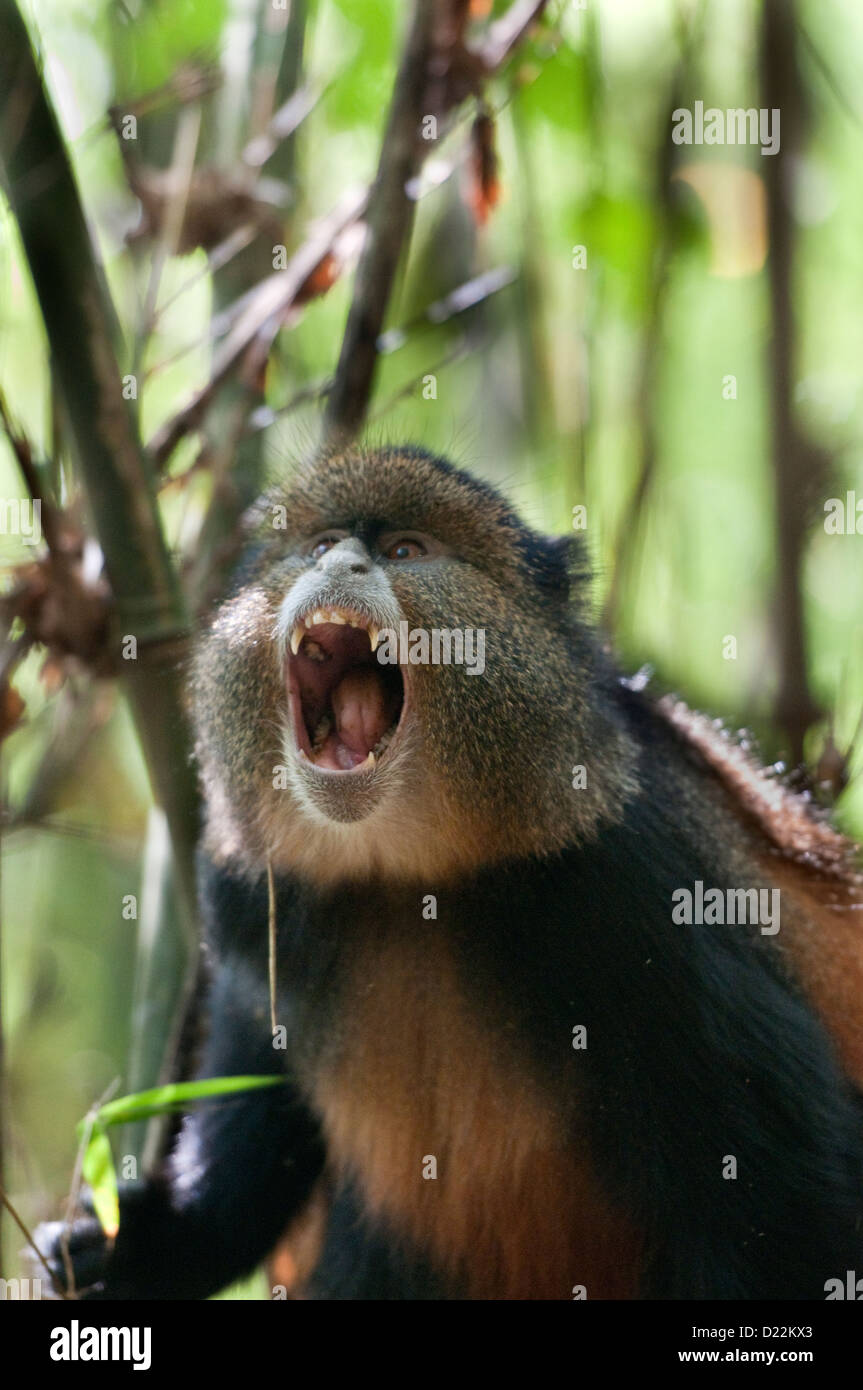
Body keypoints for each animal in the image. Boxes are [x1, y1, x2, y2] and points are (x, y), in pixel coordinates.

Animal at [38, 443, 863, 1300]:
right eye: (321, 543)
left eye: (406, 551)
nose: (341, 563)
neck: (409, 878)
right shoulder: (243, 891)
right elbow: (253, 1111)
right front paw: (142, 1241)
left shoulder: (642, 890)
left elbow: (781, 1206)